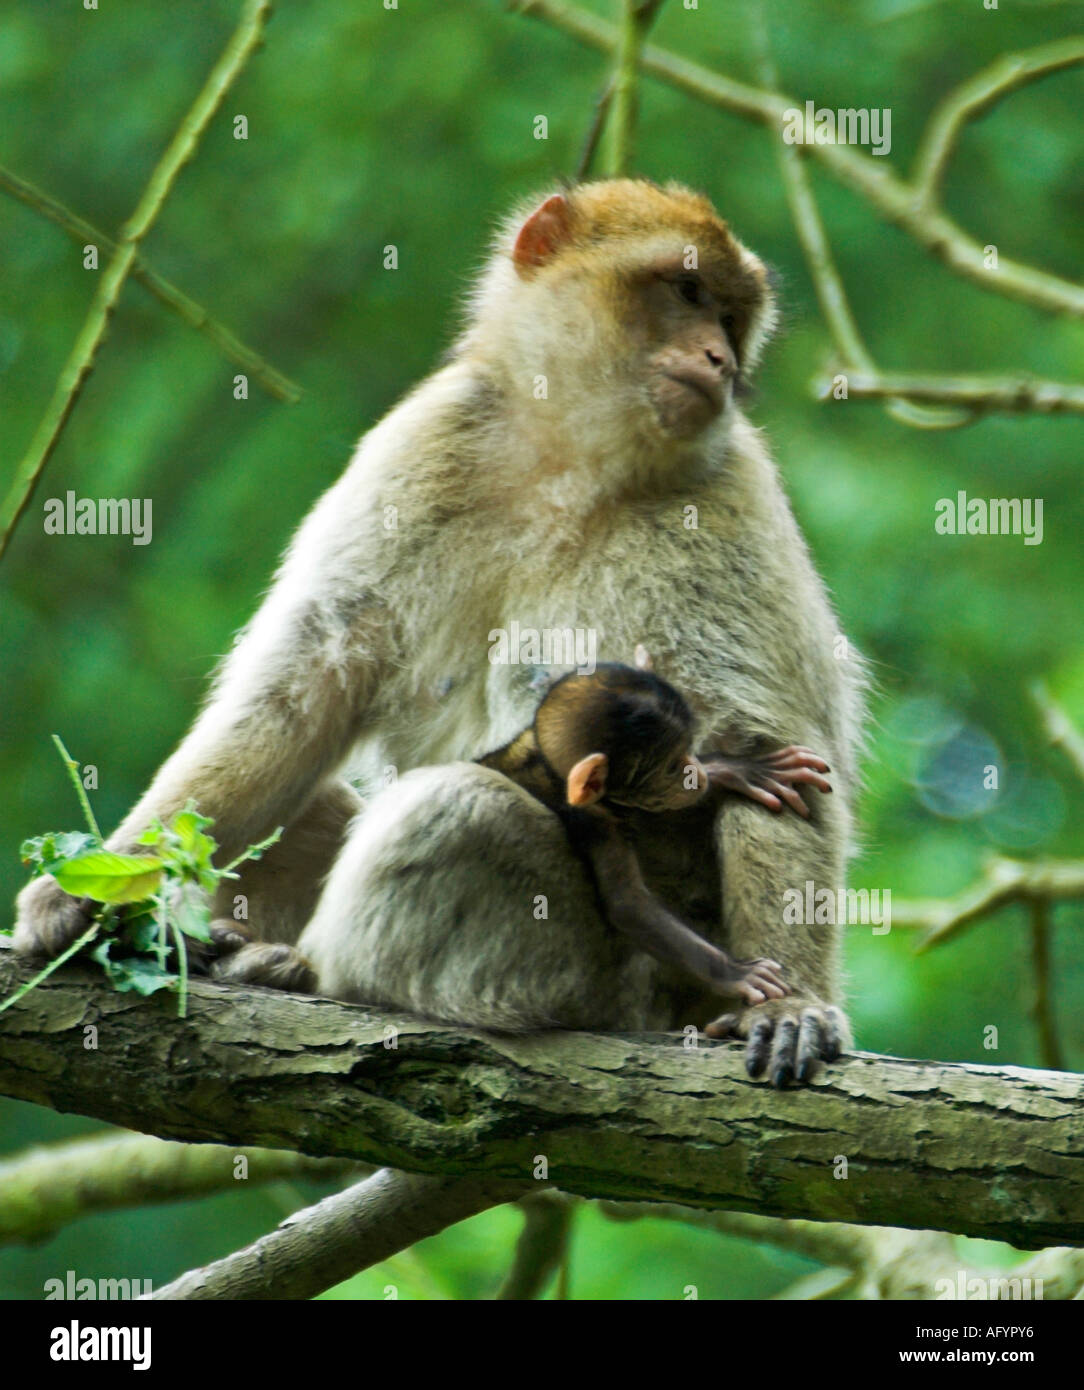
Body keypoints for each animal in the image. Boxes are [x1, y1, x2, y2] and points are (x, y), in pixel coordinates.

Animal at [476, 656, 832, 1007]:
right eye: (672, 768)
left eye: (689, 748)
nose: (698, 774)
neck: (547, 768)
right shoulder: (597, 821)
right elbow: (629, 905)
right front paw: (733, 973)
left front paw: (734, 768)